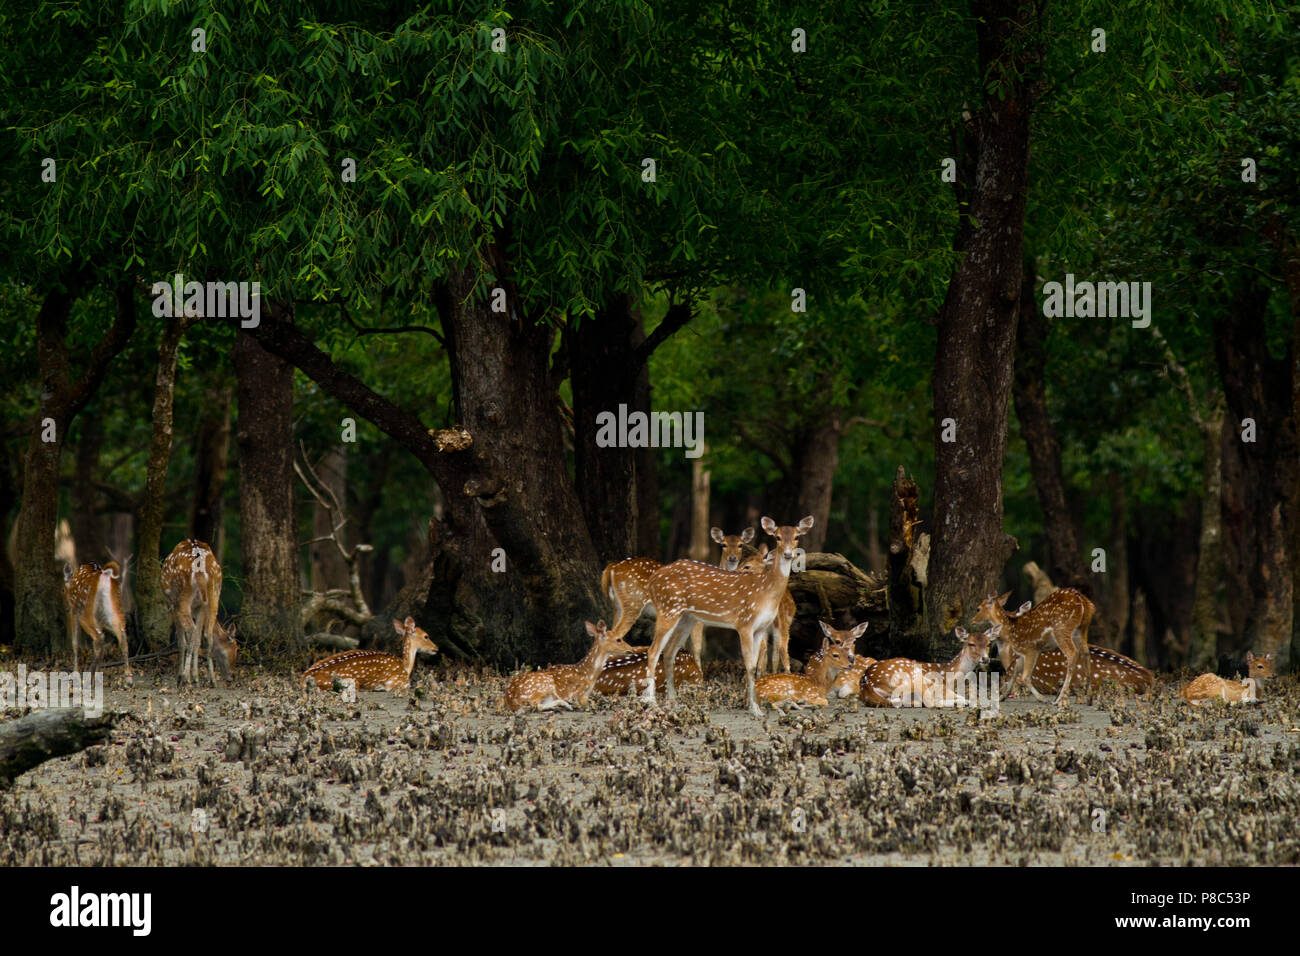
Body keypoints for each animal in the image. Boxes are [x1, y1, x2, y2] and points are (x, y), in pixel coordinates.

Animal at [161, 539, 237, 686]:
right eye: (236, 648)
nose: (233, 675)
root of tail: (201, 570)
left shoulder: (172, 603)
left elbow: (182, 640)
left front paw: (181, 676)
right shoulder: (199, 607)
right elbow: (197, 638)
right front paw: (195, 677)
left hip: (182, 597)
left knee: (191, 630)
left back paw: (185, 678)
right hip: (214, 594)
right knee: (207, 634)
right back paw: (211, 679)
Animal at [302, 616, 438, 692]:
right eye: (426, 636)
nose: (436, 648)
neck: (405, 667)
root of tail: (303, 678)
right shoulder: (397, 680)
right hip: (348, 681)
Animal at [504, 620, 633, 711]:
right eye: (619, 639)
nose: (631, 649)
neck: (589, 674)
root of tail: (510, 698)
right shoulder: (580, 693)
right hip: (543, 684)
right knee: (535, 704)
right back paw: (565, 705)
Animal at [860, 626, 993, 707]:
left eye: (988, 644)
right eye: (971, 644)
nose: (985, 659)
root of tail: (867, 683)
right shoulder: (939, 684)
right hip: (913, 677)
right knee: (931, 702)